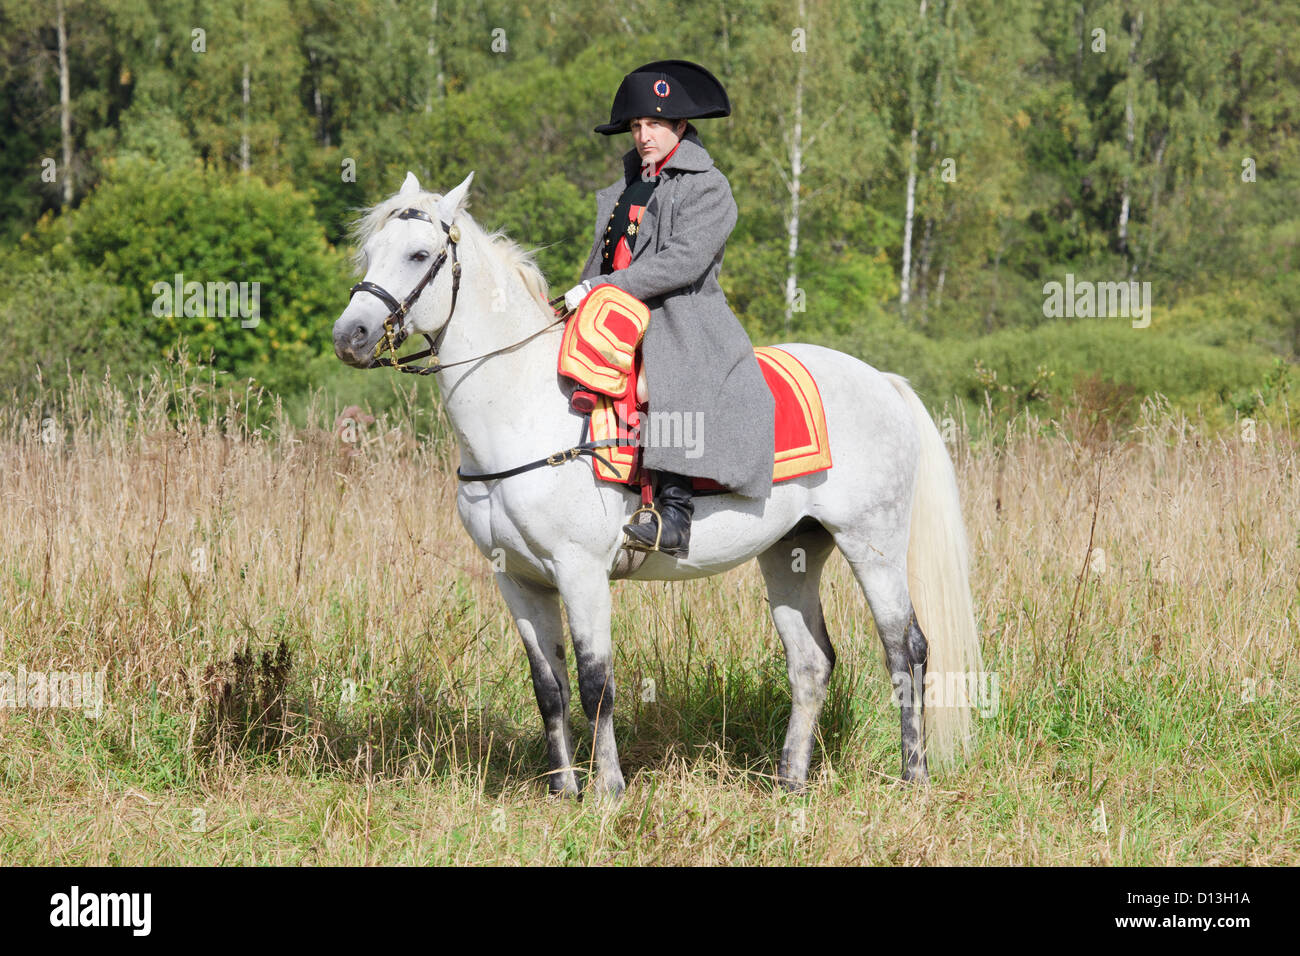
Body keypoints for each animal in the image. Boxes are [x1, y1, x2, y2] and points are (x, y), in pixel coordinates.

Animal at [332, 171, 982, 799]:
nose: (350, 335)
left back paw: (913, 777)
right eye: (369, 252)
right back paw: (790, 783)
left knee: (906, 650)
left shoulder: (581, 572)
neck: (523, 409)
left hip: (873, 545)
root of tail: (881, 379)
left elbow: (596, 682)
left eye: (419, 254)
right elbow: (550, 687)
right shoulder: (517, 579)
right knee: (811, 663)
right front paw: (562, 791)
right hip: (790, 552)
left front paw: (608, 791)